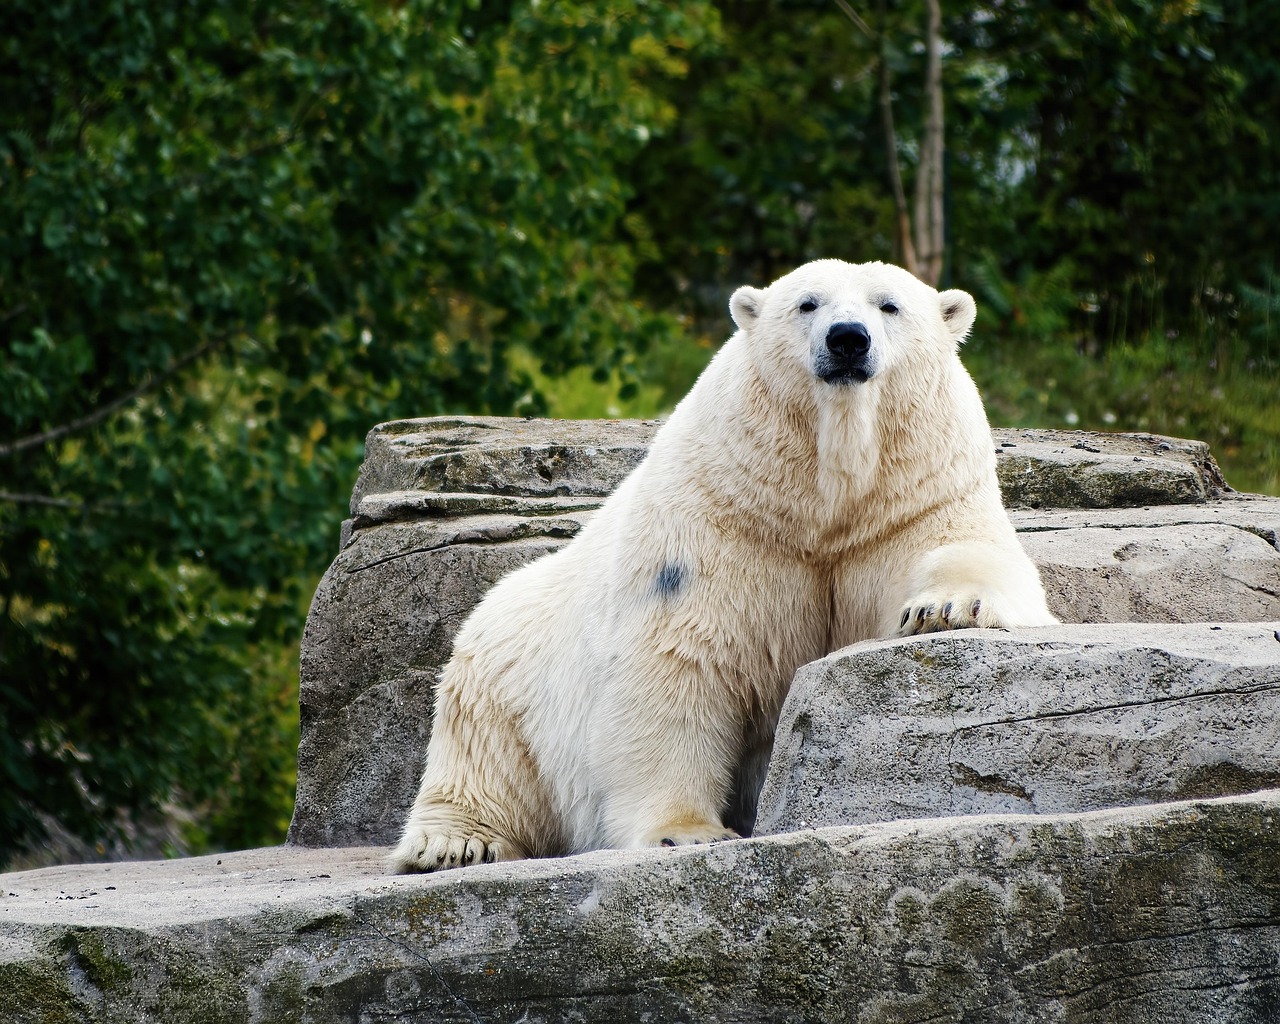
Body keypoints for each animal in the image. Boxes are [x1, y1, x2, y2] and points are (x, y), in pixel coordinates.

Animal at [390, 258, 1058, 872]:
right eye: (807, 303)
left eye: (889, 305)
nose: (848, 338)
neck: (823, 498)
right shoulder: (718, 520)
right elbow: (677, 665)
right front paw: (685, 833)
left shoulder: (917, 494)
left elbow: (969, 551)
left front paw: (944, 608)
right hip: (506, 672)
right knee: (483, 754)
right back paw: (454, 844)